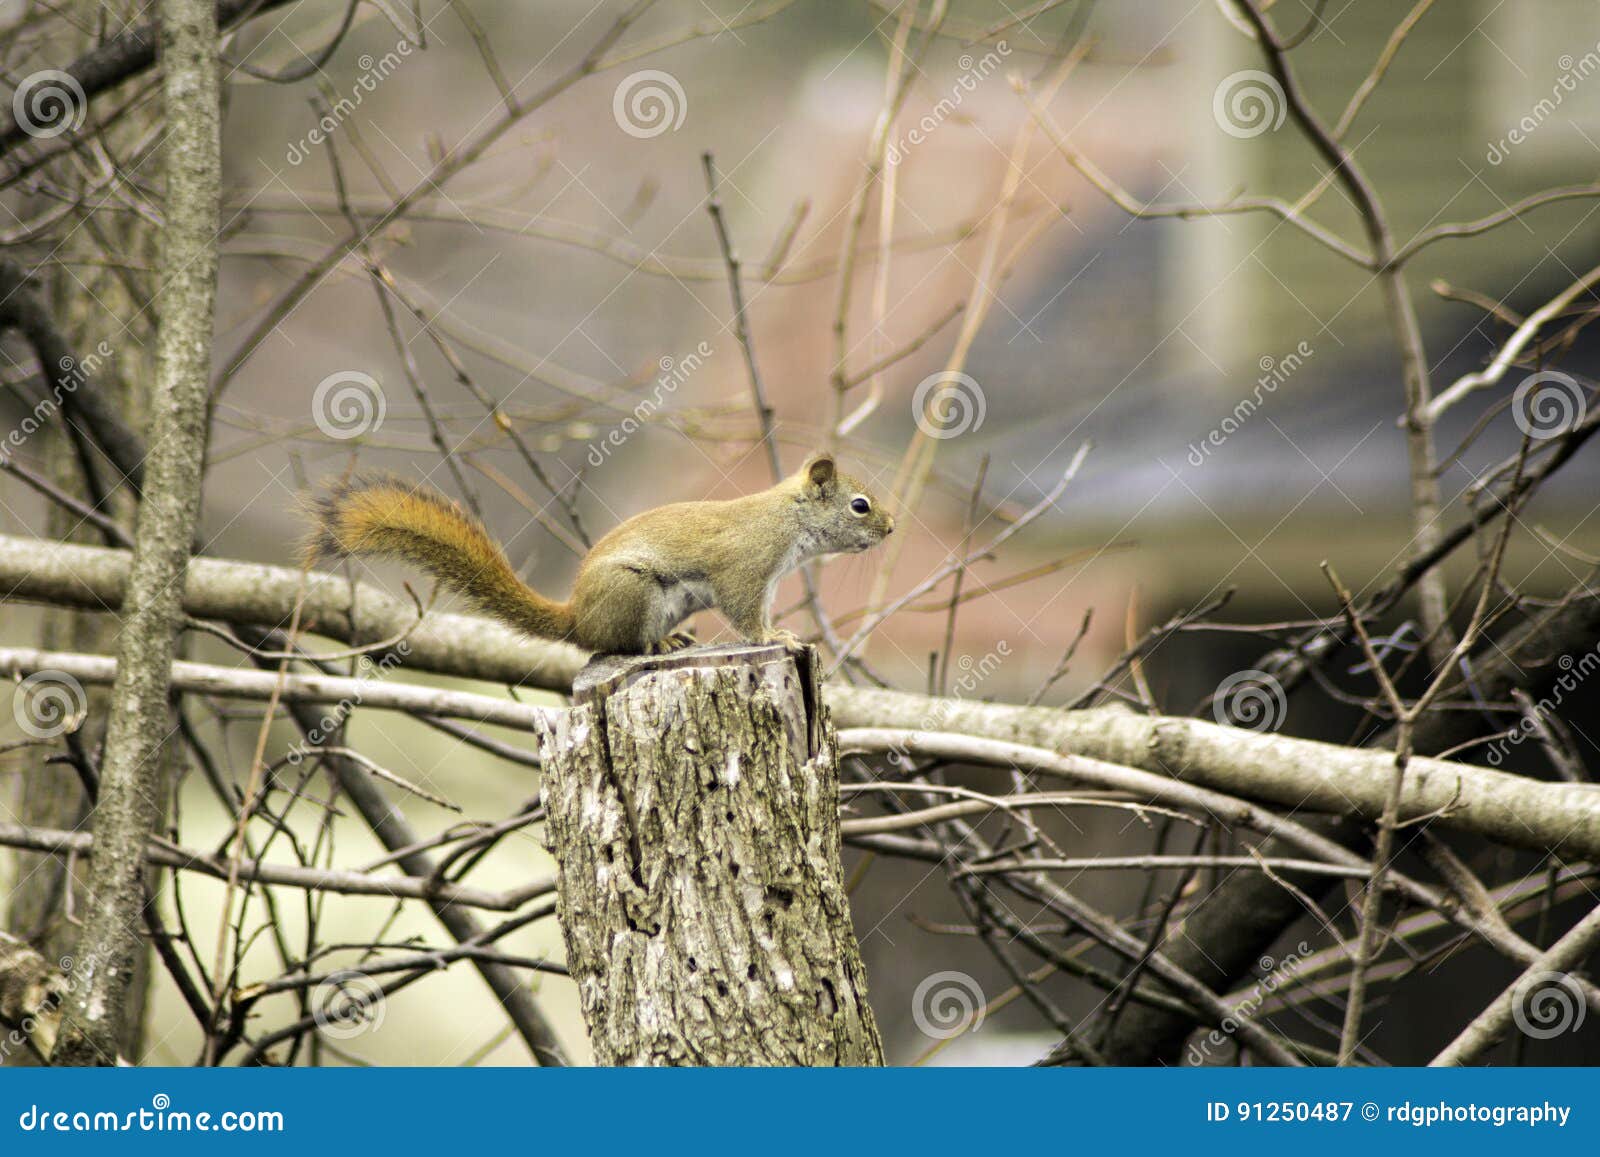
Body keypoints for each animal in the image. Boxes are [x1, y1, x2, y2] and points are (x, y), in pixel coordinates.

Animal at [304, 452, 894, 655]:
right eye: (860, 505)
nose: (891, 526)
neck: (786, 518)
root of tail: (577, 619)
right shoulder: (745, 568)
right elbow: (746, 614)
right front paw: (774, 639)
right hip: (633, 593)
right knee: (617, 647)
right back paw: (656, 646)